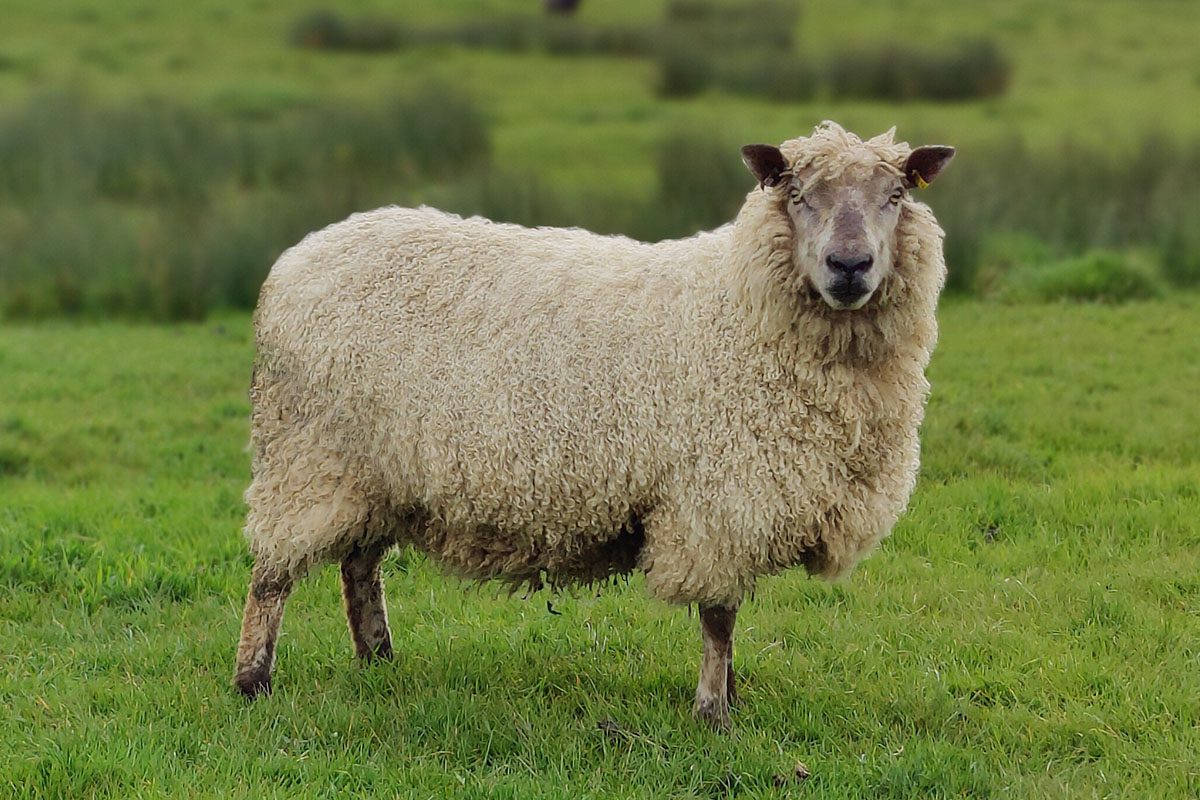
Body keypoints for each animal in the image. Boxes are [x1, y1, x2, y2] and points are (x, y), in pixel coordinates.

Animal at [232, 121, 955, 729]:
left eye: (895, 195)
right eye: (799, 194)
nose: (850, 266)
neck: (740, 308)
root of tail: (297, 258)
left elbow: (728, 616)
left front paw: (731, 696)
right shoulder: (718, 499)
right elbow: (719, 617)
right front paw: (713, 713)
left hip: (373, 470)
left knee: (358, 568)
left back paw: (378, 661)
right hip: (307, 455)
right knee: (271, 574)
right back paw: (253, 683)